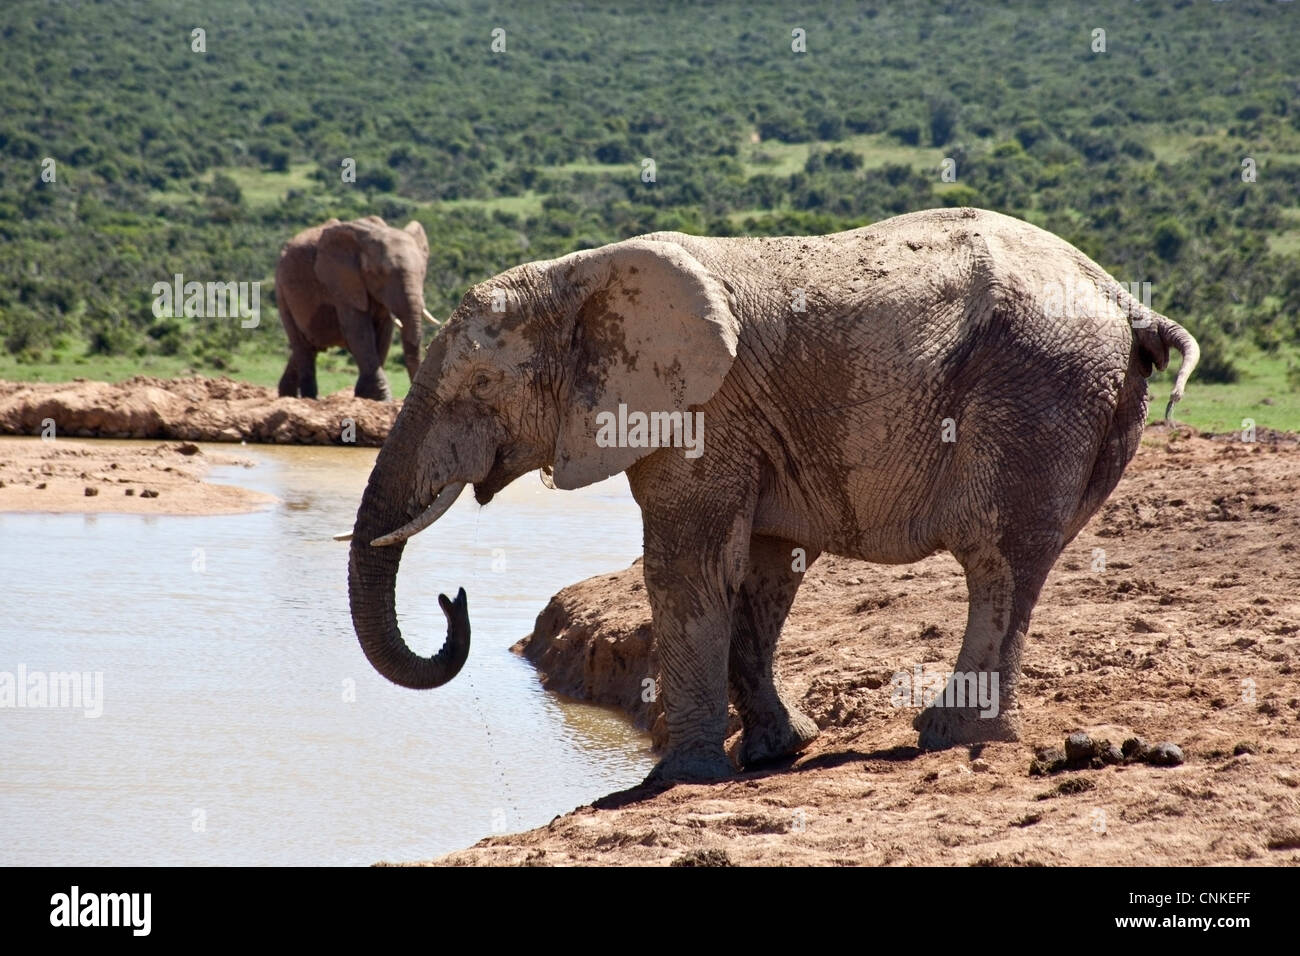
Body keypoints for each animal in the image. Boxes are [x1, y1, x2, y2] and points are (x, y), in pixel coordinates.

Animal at [275, 215, 435, 401]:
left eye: (423, 272)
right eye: (378, 273)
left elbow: (383, 334)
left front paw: (366, 396)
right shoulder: (344, 284)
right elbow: (359, 331)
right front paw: (381, 398)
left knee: (309, 345)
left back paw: (287, 396)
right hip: (282, 291)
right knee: (302, 346)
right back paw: (310, 399)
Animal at [344, 207, 1199, 784]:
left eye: (481, 388)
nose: (453, 600)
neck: (575, 275)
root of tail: (1127, 301)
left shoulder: (703, 412)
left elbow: (685, 566)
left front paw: (676, 779)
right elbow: (761, 573)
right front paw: (774, 750)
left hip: (1037, 390)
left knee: (998, 561)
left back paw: (950, 736)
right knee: (1019, 564)